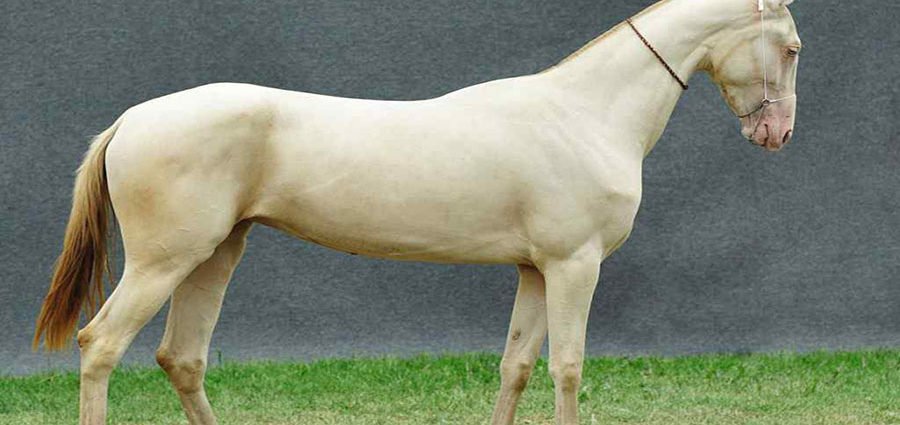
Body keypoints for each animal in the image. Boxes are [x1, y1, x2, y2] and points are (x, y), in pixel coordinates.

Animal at [33, 0, 802, 423]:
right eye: (792, 48)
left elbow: (516, 365)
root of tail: (132, 119)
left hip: (216, 254)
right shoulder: (572, 265)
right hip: (164, 261)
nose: (778, 134)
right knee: (102, 344)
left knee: (182, 357)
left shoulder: (534, 270)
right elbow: (568, 367)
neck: (583, 113)